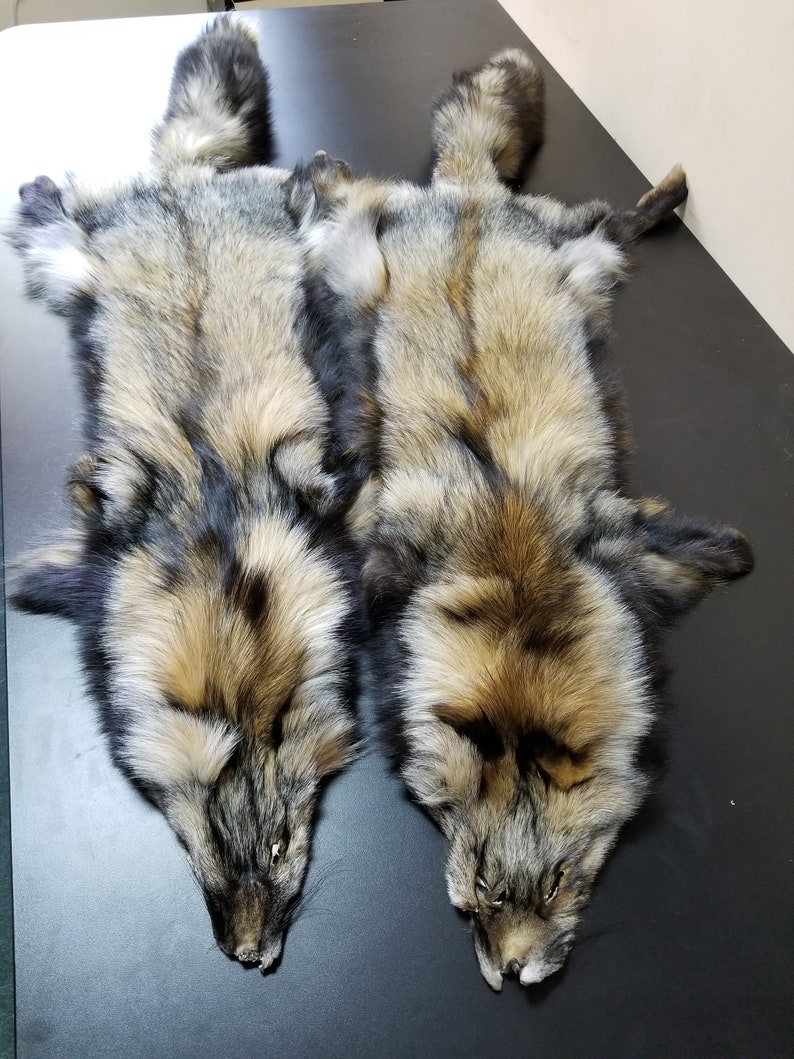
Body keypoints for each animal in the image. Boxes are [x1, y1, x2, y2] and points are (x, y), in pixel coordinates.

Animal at [7, 17, 358, 972]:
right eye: (204, 841)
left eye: (281, 842)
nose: (255, 956)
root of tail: (184, 186)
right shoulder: (111, 538)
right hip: (74, 261)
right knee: (59, 211)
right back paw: (42, 188)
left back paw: (315, 175)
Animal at [287, 50, 754, 990]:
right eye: (481, 890)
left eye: (562, 881)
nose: (515, 975)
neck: (516, 566)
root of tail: (468, 196)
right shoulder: (395, 549)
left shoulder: (613, 535)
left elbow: (688, 545)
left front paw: (734, 551)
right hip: (352, 258)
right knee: (342, 191)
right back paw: (315, 168)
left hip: (581, 252)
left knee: (614, 215)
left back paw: (669, 193)